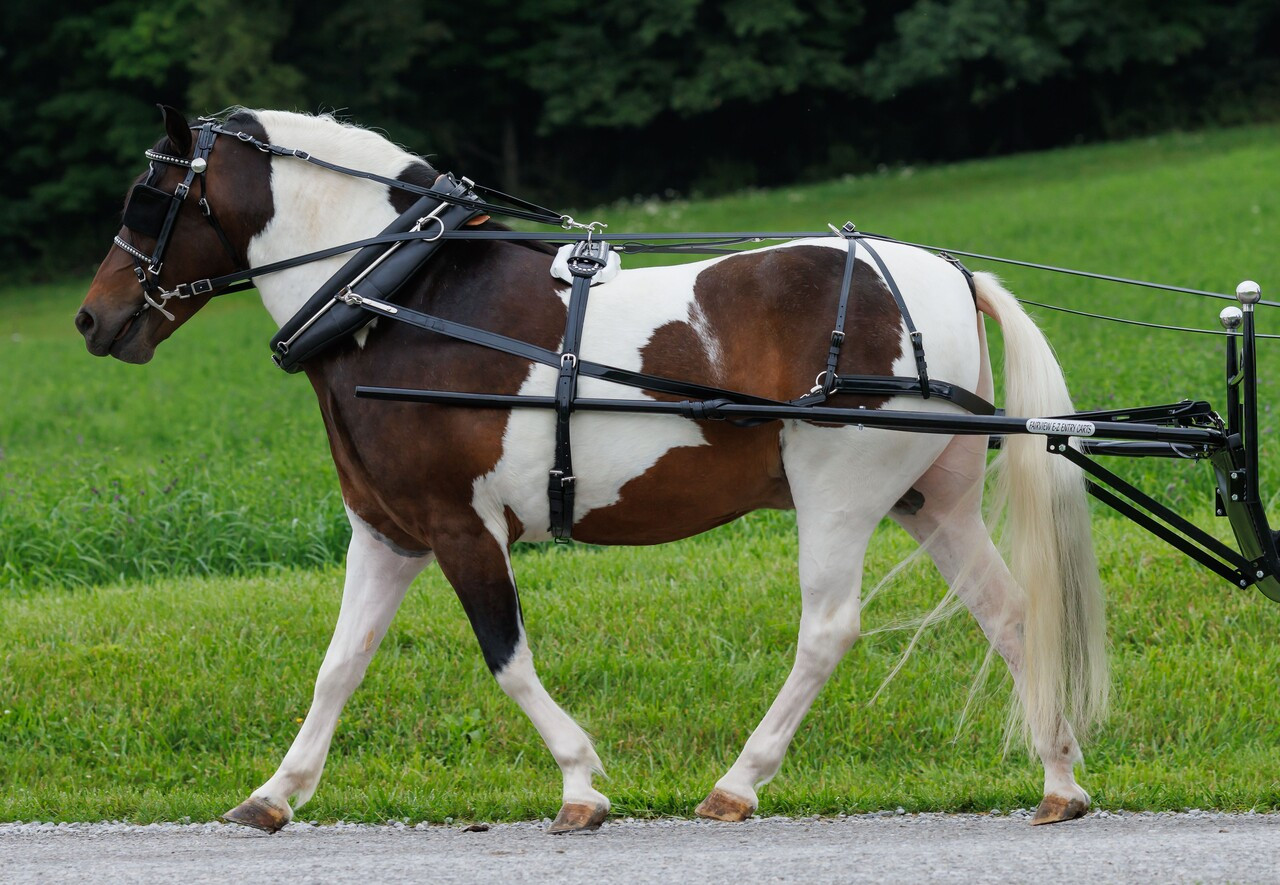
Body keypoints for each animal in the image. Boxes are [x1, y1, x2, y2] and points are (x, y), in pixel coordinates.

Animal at [76, 106, 1107, 833]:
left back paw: (739, 780)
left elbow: (507, 658)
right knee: (1013, 614)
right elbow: (339, 666)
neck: (405, 297)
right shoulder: (389, 535)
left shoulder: (462, 529)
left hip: (839, 495)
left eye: (147, 200)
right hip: (933, 503)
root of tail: (945, 274)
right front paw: (276, 792)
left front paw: (579, 782)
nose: (93, 318)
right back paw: (1058, 777)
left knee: (829, 631)